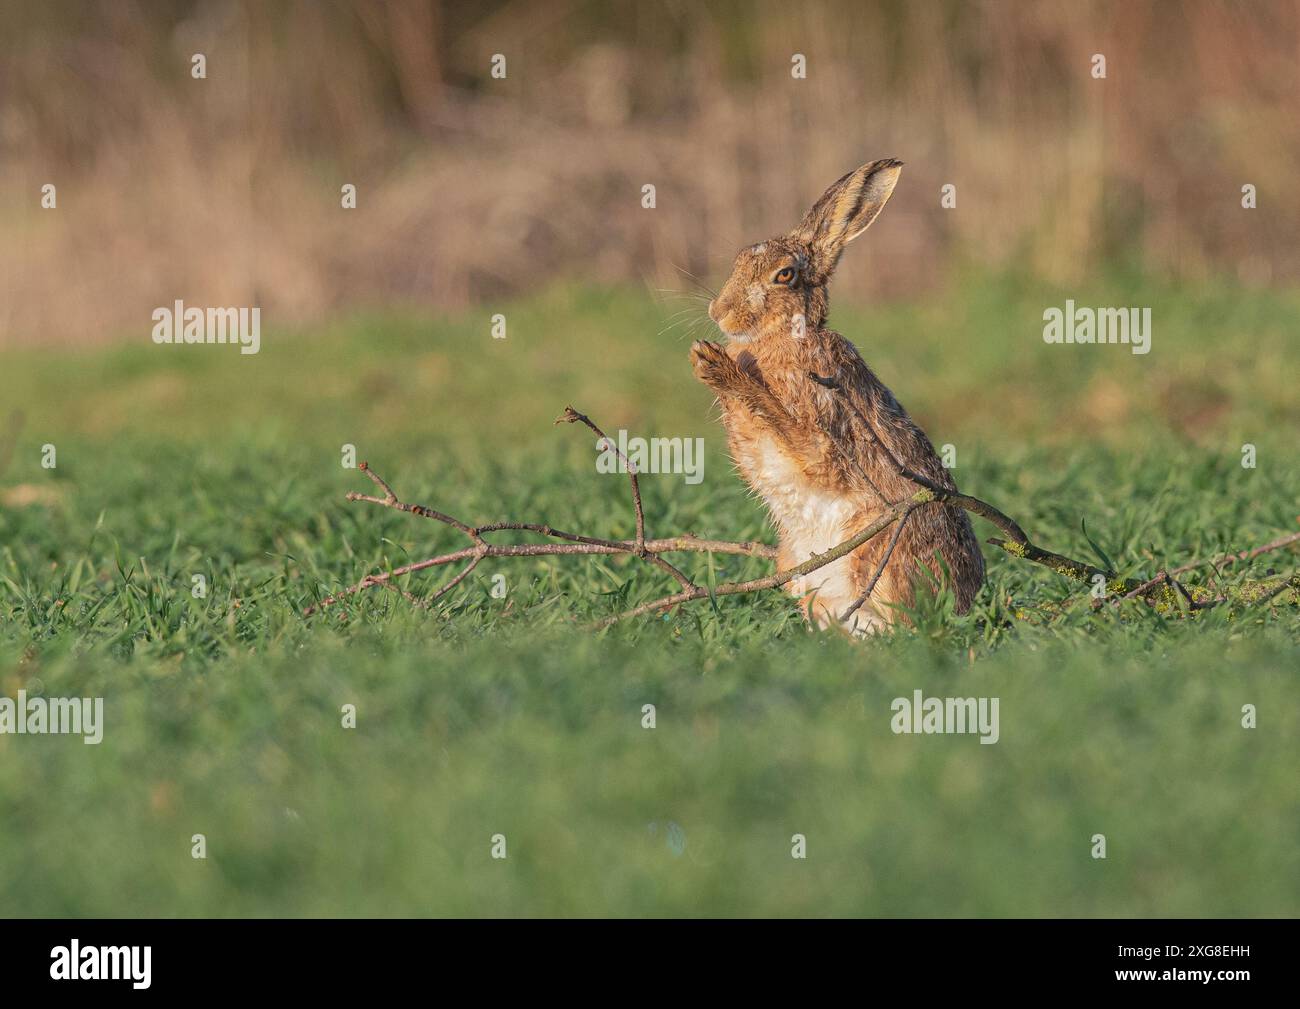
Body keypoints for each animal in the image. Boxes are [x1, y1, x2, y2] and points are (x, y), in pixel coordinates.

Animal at [690, 158, 984, 634]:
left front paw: (715, 364)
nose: (720, 313)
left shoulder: (825, 433)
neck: (782, 337)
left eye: (785, 275)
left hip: (878, 553)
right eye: (739, 260)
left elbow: (798, 438)